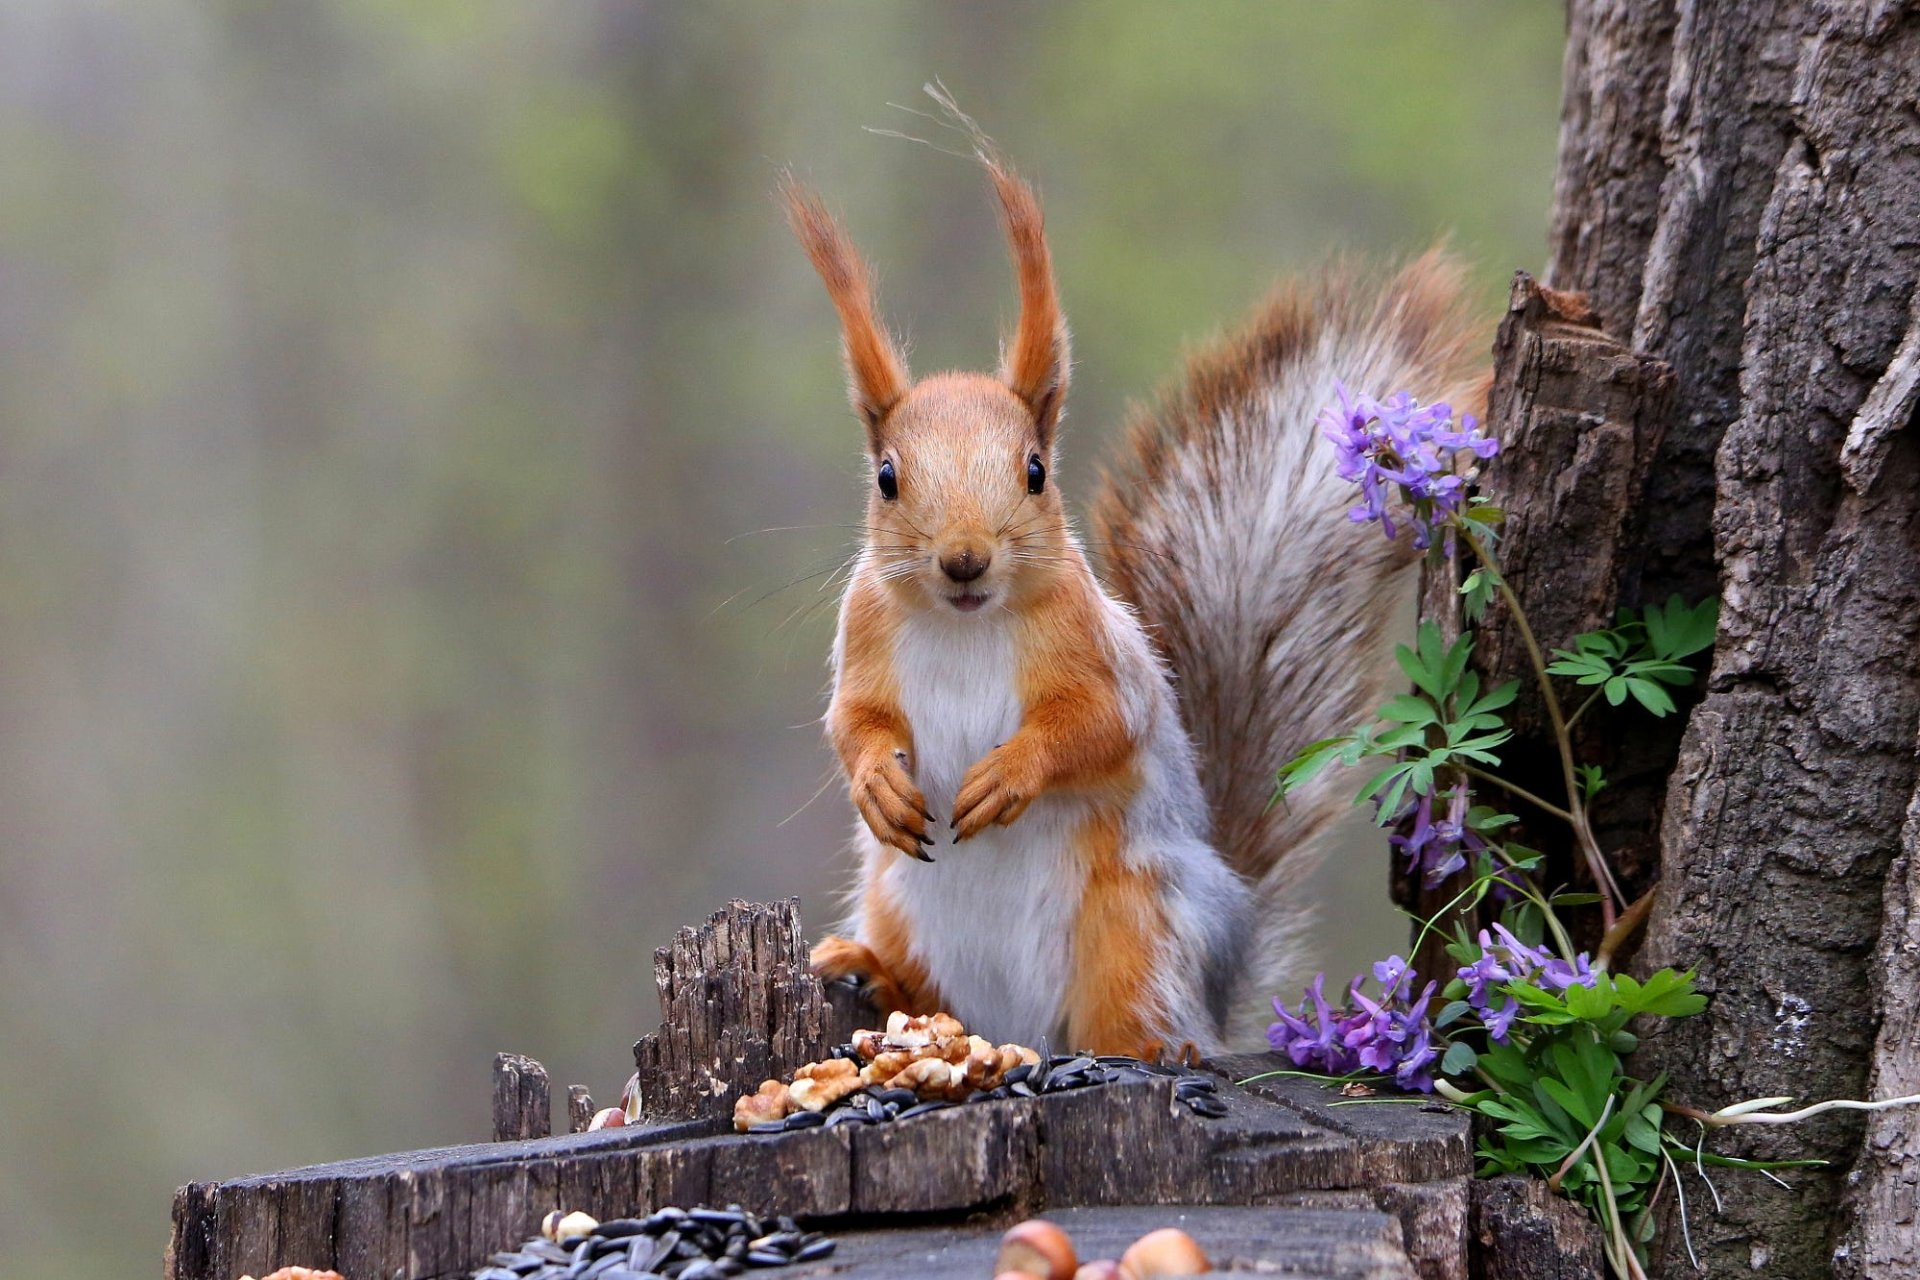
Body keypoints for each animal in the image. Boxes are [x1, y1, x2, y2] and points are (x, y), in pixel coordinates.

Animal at [781, 137, 1485, 1059]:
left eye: (1035, 471)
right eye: (887, 479)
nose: (964, 561)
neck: (966, 627)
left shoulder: (1098, 653)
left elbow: (1097, 724)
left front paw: (1010, 774)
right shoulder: (865, 634)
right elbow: (853, 722)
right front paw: (877, 786)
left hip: (1137, 924)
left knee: (1136, 1016)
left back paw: (1157, 1050)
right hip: (901, 906)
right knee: (929, 991)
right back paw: (873, 975)